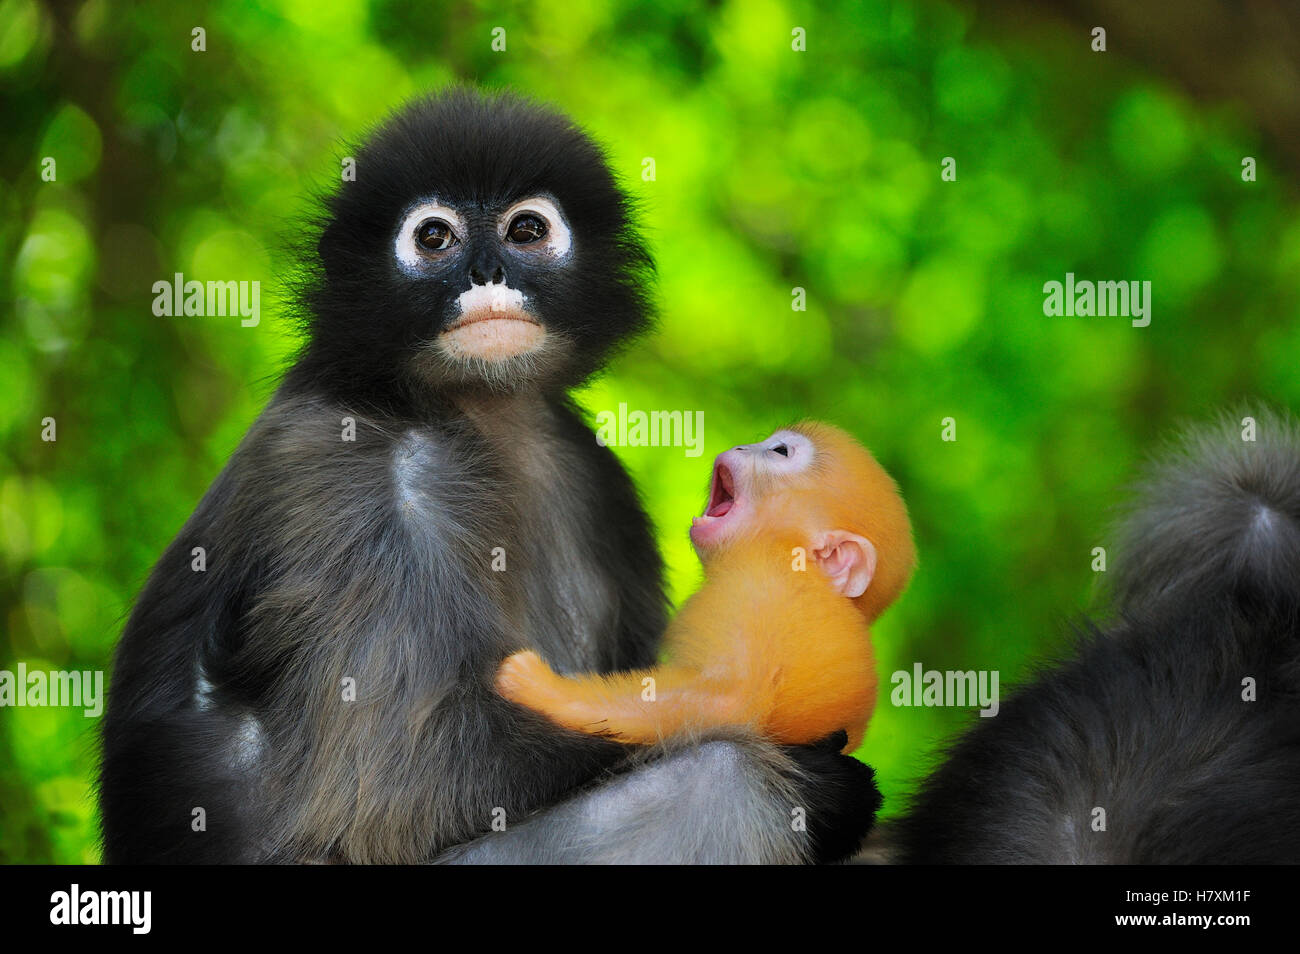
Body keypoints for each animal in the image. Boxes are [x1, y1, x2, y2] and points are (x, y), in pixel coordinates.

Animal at [495, 422, 916, 755]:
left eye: (780, 451)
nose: (742, 447)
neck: (790, 559)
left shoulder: (757, 591)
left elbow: (728, 702)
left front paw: (541, 687)